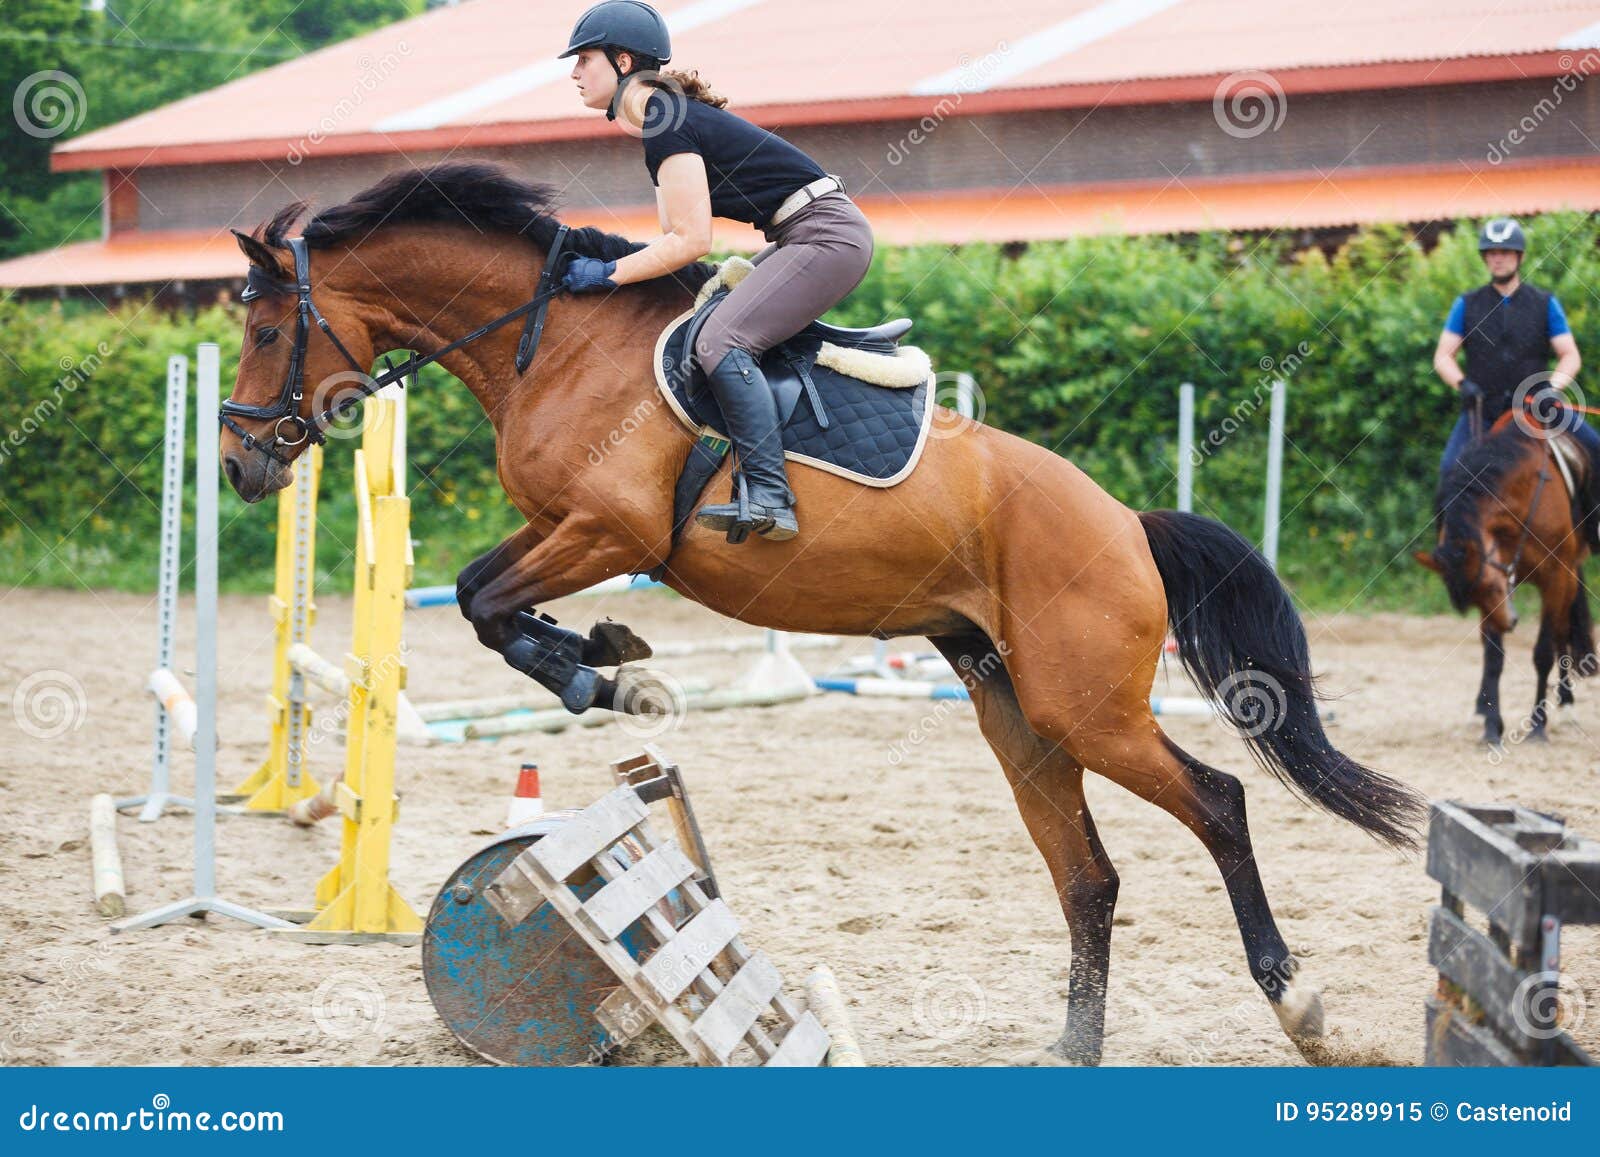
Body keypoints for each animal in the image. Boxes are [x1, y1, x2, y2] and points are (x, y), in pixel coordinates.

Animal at [218, 161, 1423, 1065]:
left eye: (270, 331)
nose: (237, 464)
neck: (553, 342)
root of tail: (1124, 520)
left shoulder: (610, 532)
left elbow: (488, 603)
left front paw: (605, 671)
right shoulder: (564, 528)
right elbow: (480, 596)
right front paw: (610, 657)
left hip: (1085, 705)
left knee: (1218, 801)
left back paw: (1298, 1004)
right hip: (1012, 706)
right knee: (1088, 874)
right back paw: (1076, 1046)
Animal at [1416, 409, 1597, 746]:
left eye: (1489, 585)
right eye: (1475, 598)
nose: (1510, 623)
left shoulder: (1554, 578)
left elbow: (1543, 652)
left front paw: (1538, 726)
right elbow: (1494, 657)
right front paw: (1491, 726)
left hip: (1567, 575)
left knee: (1561, 633)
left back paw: (1566, 704)